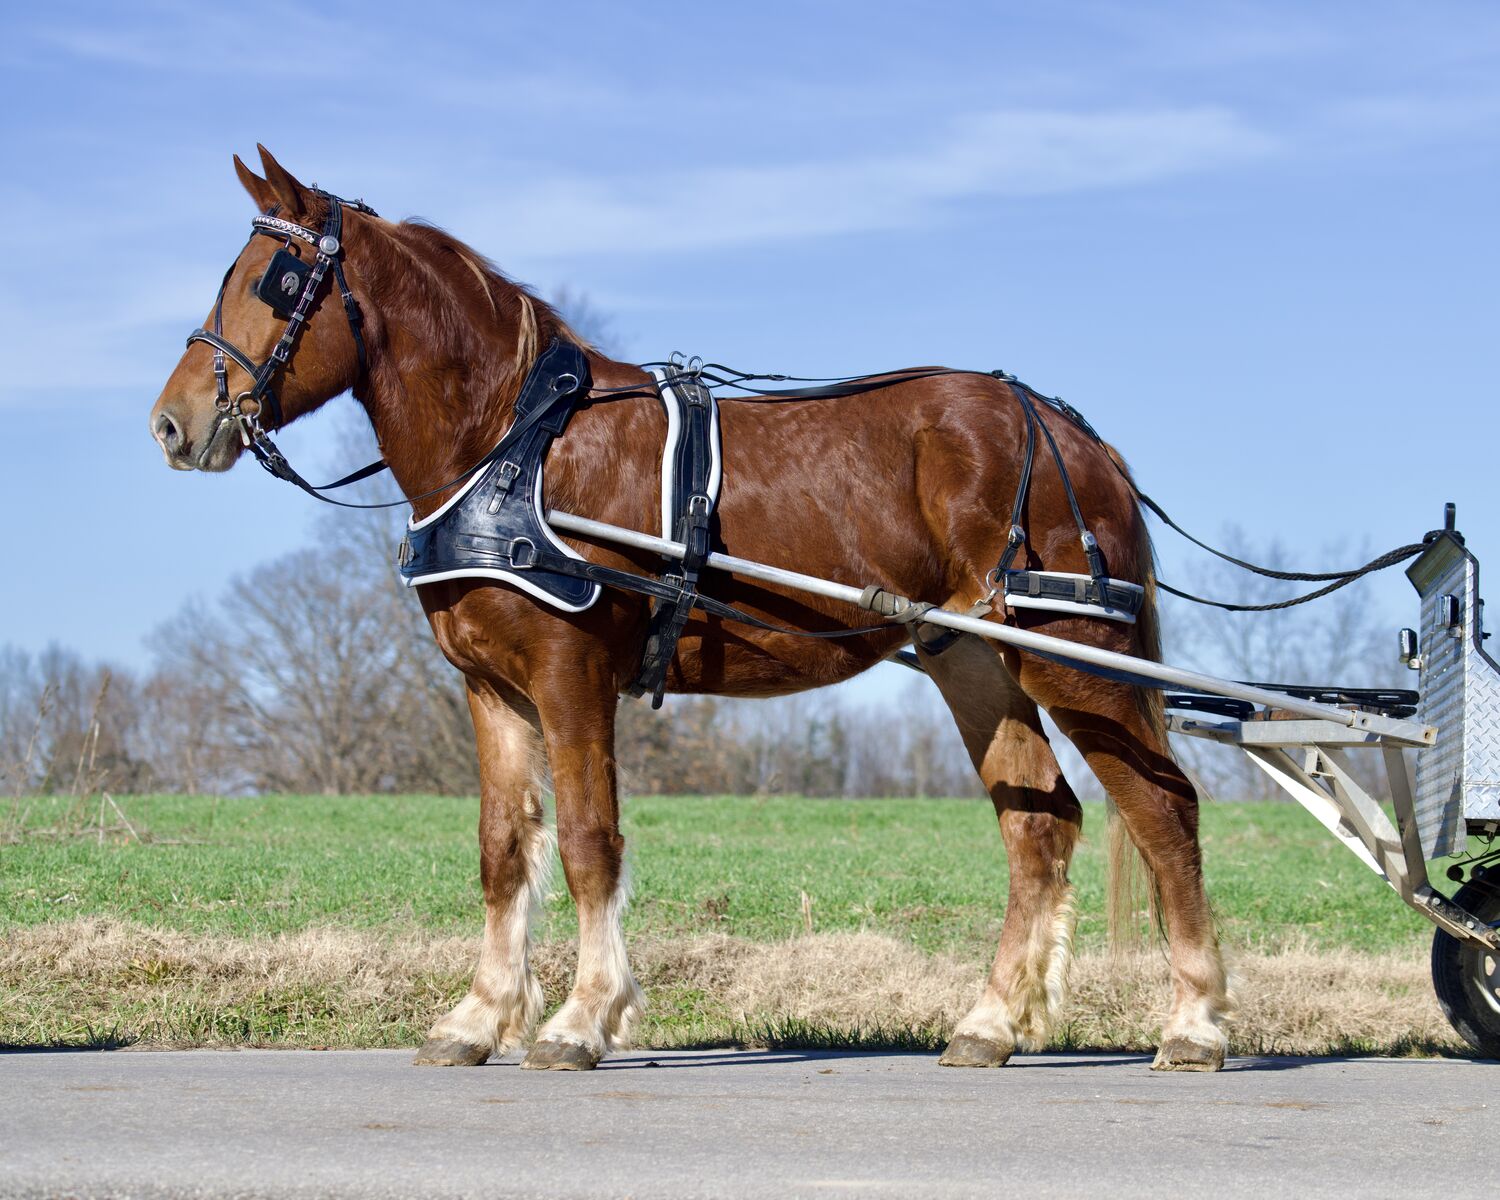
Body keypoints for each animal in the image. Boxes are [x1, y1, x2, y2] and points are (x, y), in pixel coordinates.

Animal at [149, 147, 1230, 1073]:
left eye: (272, 280)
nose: (172, 424)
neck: (515, 449)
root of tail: (1071, 432)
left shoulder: (572, 673)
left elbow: (590, 843)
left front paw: (581, 1020)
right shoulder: (490, 690)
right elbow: (504, 851)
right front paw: (477, 1019)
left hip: (1074, 653)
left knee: (1164, 810)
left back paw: (1193, 1023)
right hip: (972, 659)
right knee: (1039, 825)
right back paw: (992, 1024)